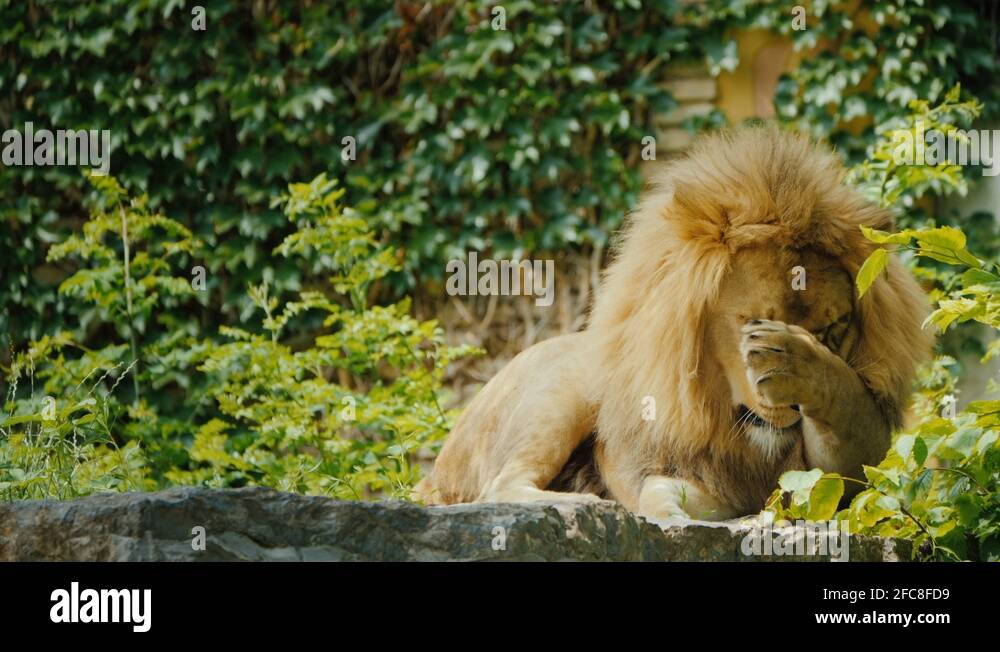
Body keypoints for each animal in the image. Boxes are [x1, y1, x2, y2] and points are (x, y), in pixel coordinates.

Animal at [416, 126, 934, 524]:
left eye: (833, 329)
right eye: (750, 322)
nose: (788, 409)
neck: (731, 423)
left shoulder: (841, 469)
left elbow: (840, 397)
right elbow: (657, 490)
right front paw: (658, 512)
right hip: (565, 387)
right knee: (501, 484)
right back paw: (584, 500)